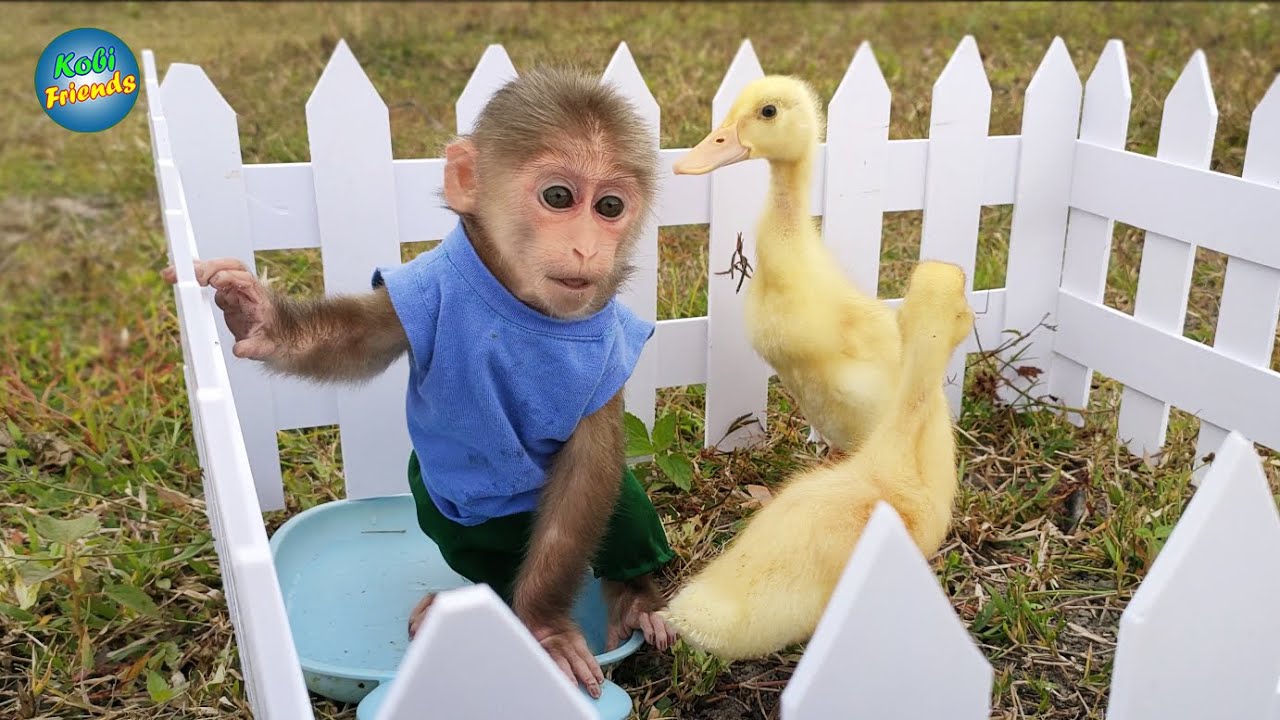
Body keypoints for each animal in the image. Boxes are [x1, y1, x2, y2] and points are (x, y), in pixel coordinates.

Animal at [162, 67, 680, 699]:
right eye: (559, 197)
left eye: (609, 206)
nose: (587, 246)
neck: (521, 310)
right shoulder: (426, 286)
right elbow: (359, 339)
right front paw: (259, 318)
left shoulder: (609, 347)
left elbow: (589, 470)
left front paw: (543, 625)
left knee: (618, 501)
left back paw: (633, 601)